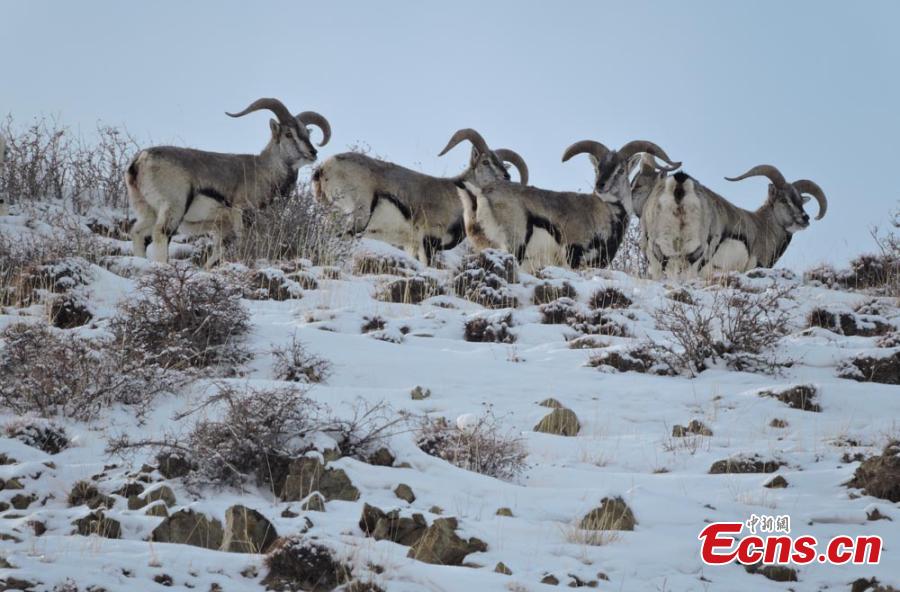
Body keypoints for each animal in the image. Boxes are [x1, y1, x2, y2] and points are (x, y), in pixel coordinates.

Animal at [126, 97, 331, 267]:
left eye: (307, 134)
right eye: (288, 134)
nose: (312, 152)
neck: (263, 170)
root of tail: (142, 159)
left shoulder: (222, 228)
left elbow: (217, 254)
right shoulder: (243, 214)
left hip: (147, 210)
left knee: (138, 233)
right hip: (173, 209)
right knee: (160, 234)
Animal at [312, 128, 527, 265]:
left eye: (501, 163)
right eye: (485, 161)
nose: (506, 177)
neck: (456, 197)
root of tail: (324, 168)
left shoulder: (411, 245)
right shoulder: (428, 242)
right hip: (355, 218)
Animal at [456, 140, 679, 272]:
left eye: (621, 169)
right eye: (598, 167)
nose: (601, 185)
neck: (602, 213)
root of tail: (480, 195)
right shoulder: (574, 254)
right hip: (513, 245)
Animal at [638, 160, 828, 279]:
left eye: (800, 201)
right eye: (784, 200)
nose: (805, 218)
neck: (762, 226)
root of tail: (680, 184)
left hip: (656, 249)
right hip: (693, 252)